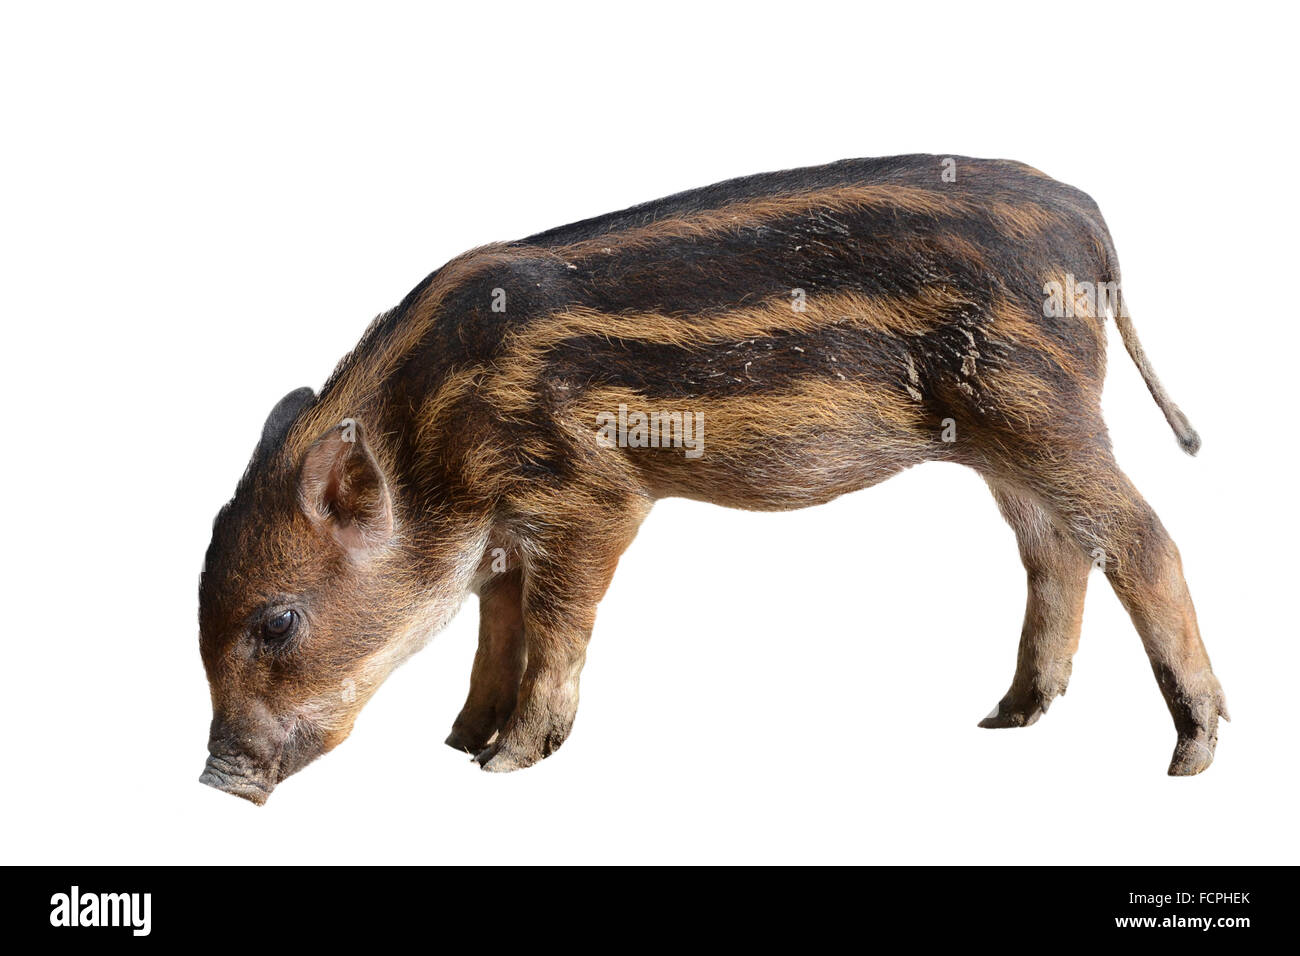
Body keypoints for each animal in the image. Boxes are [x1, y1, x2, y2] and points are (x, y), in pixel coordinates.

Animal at [199, 154, 1226, 804]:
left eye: (277, 621)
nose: (216, 781)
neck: (429, 442)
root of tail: (1087, 219)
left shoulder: (593, 499)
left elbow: (554, 626)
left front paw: (506, 764)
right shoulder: (503, 538)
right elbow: (497, 627)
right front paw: (459, 742)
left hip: (1040, 411)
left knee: (1142, 540)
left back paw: (1189, 755)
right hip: (1006, 442)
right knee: (1056, 551)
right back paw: (1007, 720)